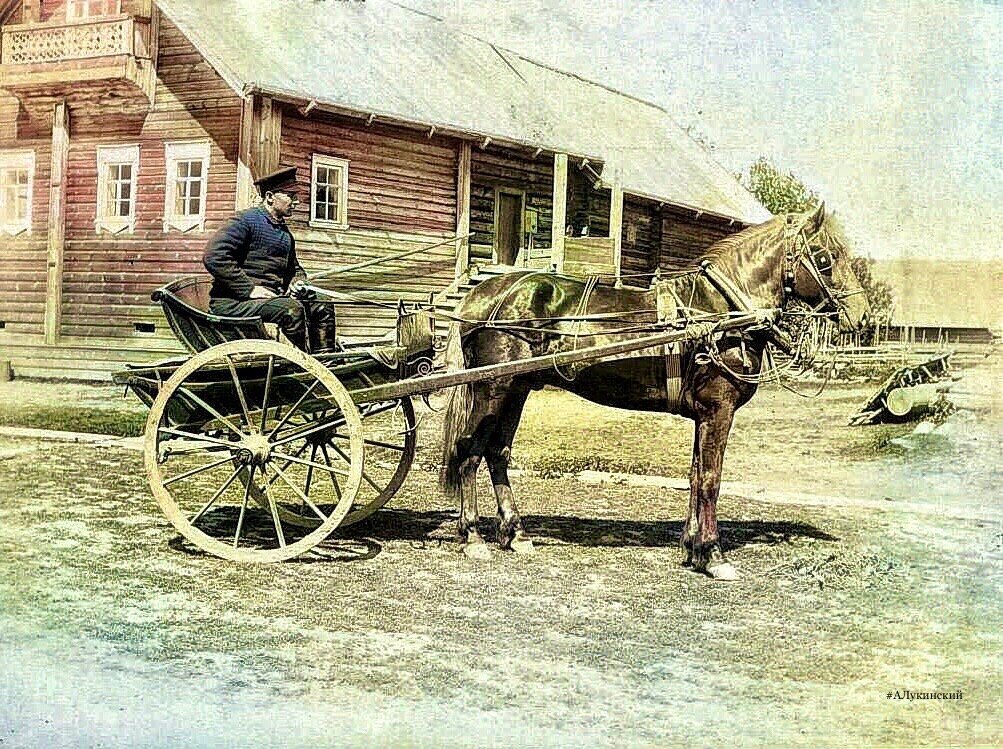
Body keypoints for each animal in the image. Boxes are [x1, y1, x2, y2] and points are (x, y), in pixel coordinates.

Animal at [439, 203, 870, 581]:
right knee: (469, 453)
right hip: (491, 389)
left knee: (497, 454)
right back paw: (473, 536)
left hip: (518, 389)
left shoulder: (703, 416)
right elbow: (711, 479)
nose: (863, 315)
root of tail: (482, 296)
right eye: (826, 258)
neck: (721, 313)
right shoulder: (718, 410)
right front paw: (713, 555)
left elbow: (695, 476)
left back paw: (516, 533)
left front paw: (692, 549)